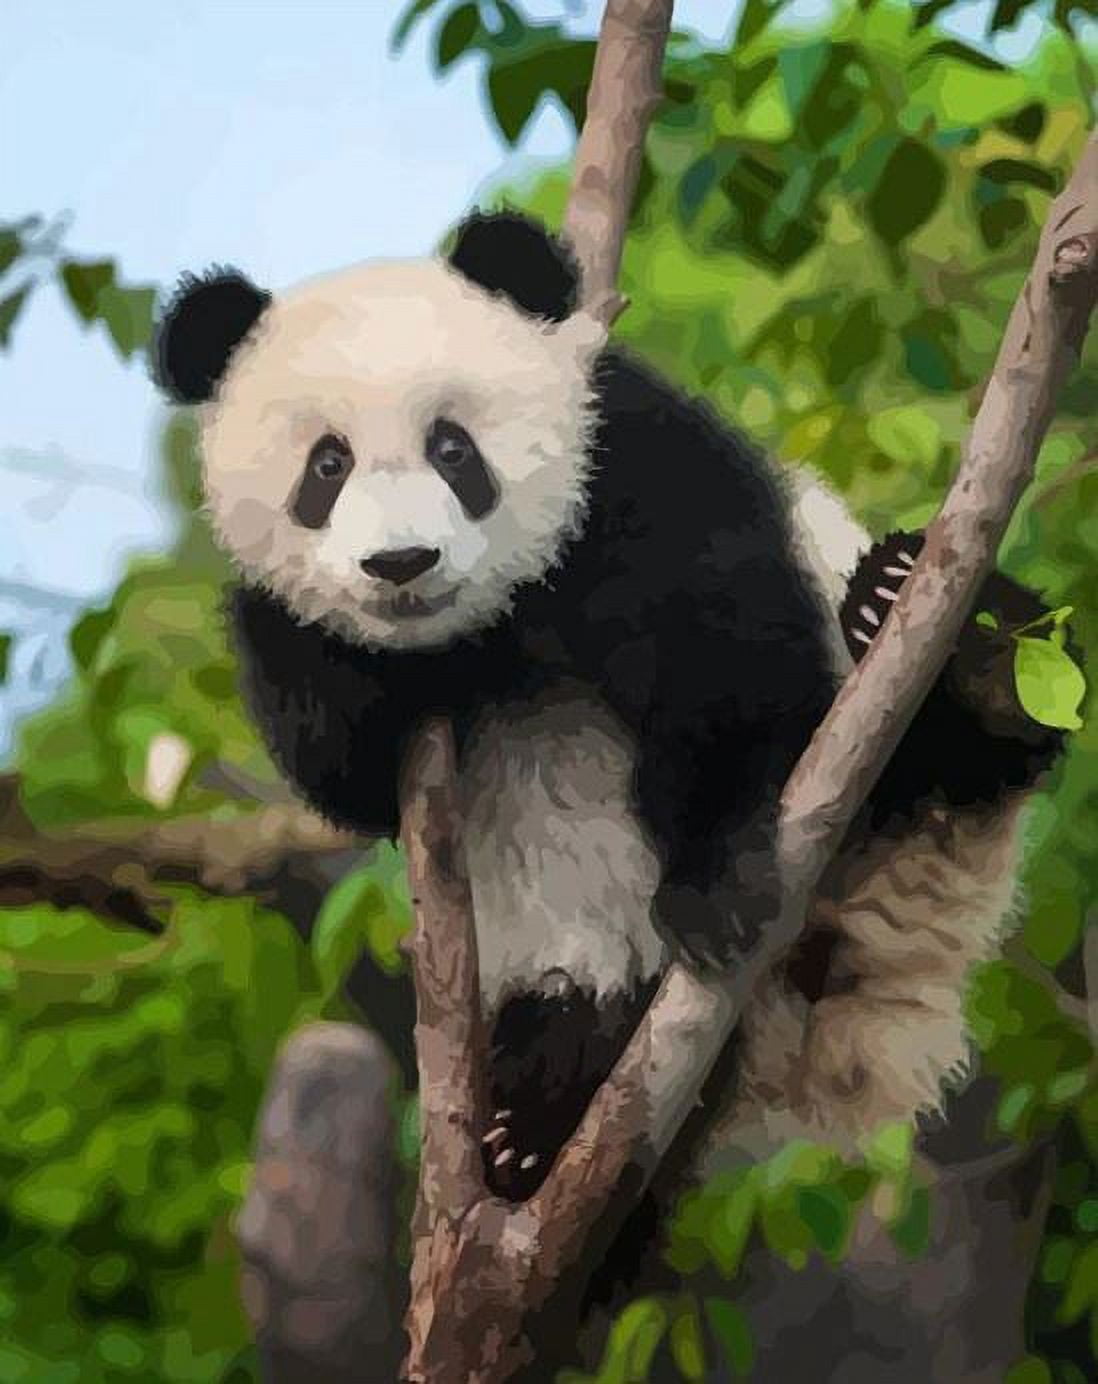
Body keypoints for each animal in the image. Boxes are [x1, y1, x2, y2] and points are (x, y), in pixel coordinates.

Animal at [153, 210, 1065, 1217]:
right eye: (327, 465)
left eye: (453, 450)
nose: (402, 564)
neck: (486, 629)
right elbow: (339, 767)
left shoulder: (630, 466)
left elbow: (725, 662)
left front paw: (712, 888)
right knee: (568, 1020)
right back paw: (538, 1128)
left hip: (907, 751)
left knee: (965, 722)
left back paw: (943, 633)